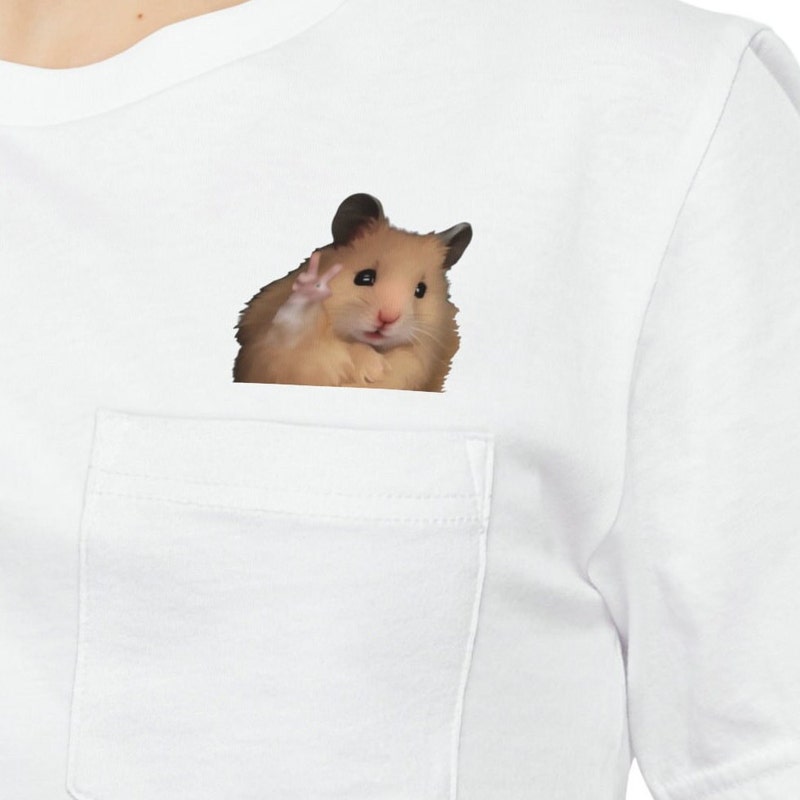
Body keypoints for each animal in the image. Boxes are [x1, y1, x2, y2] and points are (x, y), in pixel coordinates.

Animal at [232, 193, 472, 392]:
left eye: (421, 290)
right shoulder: (271, 351)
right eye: (364, 277)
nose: (387, 320)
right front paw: (373, 369)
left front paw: (380, 371)